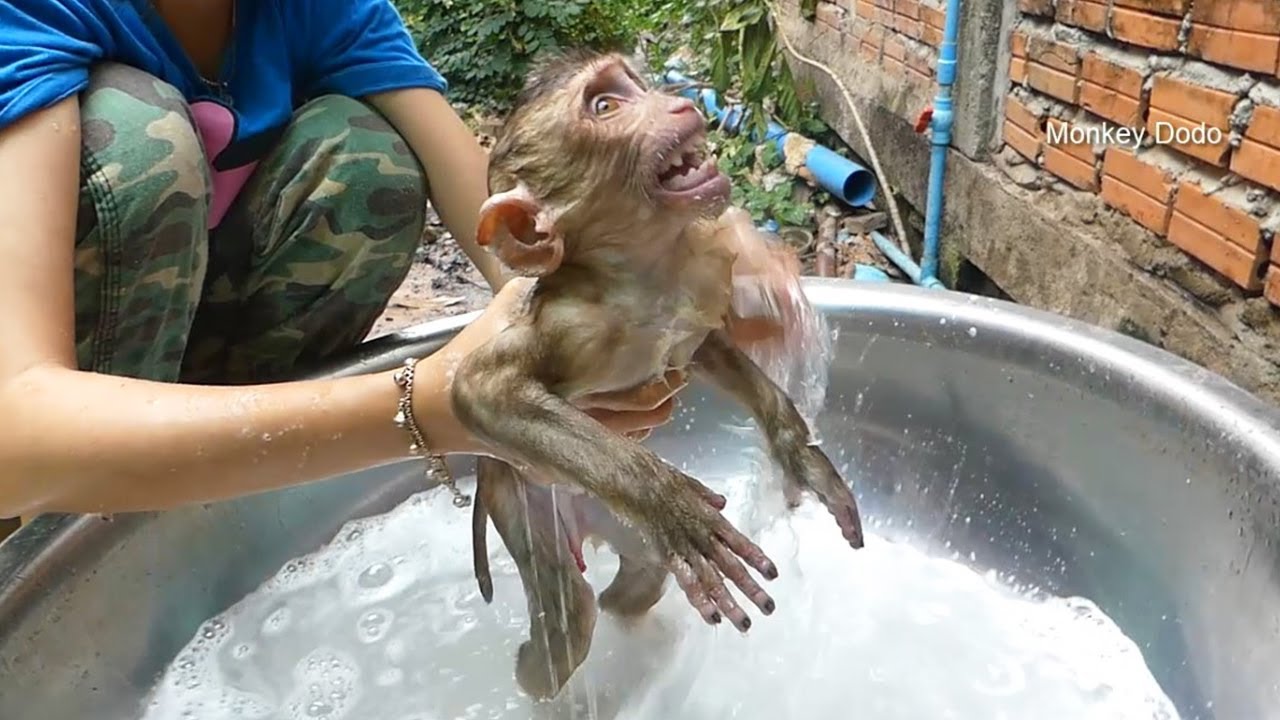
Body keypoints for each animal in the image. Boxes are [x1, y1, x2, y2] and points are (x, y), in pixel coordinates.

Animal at [448, 48, 864, 700]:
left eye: (635, 86)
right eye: (605, 105)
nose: (678, 103)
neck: (642, 279)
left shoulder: (694, 284)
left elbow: (709, 348)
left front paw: (796, 450)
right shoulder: (570, 322)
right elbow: (481, 390)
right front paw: (670, 505)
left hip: (605, 519)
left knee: (640, 577)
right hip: (526, 502)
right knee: (570, 620)